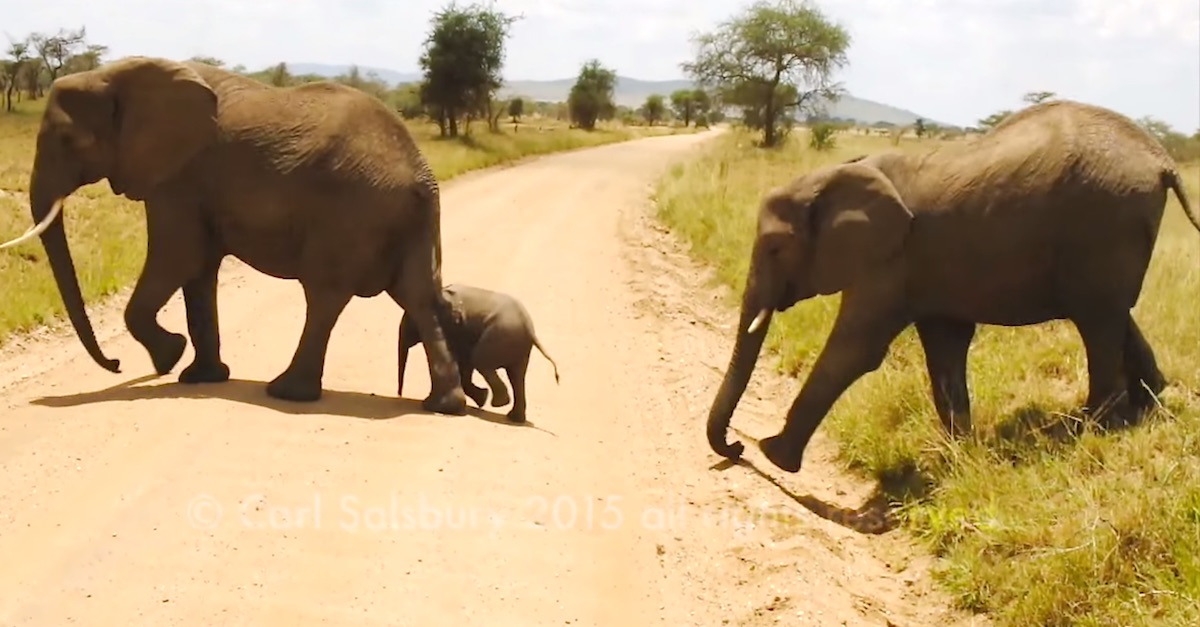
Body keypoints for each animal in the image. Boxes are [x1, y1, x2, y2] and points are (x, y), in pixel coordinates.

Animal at [0, 55, 468, 414]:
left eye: (68, 139)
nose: (115, 365)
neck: (114, 73)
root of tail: (420, 173)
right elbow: (198, 270)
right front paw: (199, 377)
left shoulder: (180, 176)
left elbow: (178, 257)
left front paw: (169, 357)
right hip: (412, 221)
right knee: (418, 295)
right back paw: (444, 405)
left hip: (350, 212)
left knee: (325, 294)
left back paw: (287, 392)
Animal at [398, 284, 560, 423]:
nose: (399, 394)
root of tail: (530, 329)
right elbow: (464, 361)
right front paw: (481, 399)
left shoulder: (455, 328)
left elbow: (463, 359)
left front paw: (481, 399)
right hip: (517, 345)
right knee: (516, 376)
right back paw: (513, 417)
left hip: (499, 337)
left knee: (481, 361)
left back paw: (499, 403)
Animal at [705, 99, 1200, 474]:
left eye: (774, 249)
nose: (736, 448)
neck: (831, 176)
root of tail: (1161, 160)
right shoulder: (922, 269)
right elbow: (944, 348)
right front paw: (960, 453)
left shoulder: (890, 260)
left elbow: (855, 350)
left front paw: (774, 455)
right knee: (1114, 312)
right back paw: (1145, 407)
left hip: (1104, 220)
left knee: (1097, 321)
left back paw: (1088, 429)